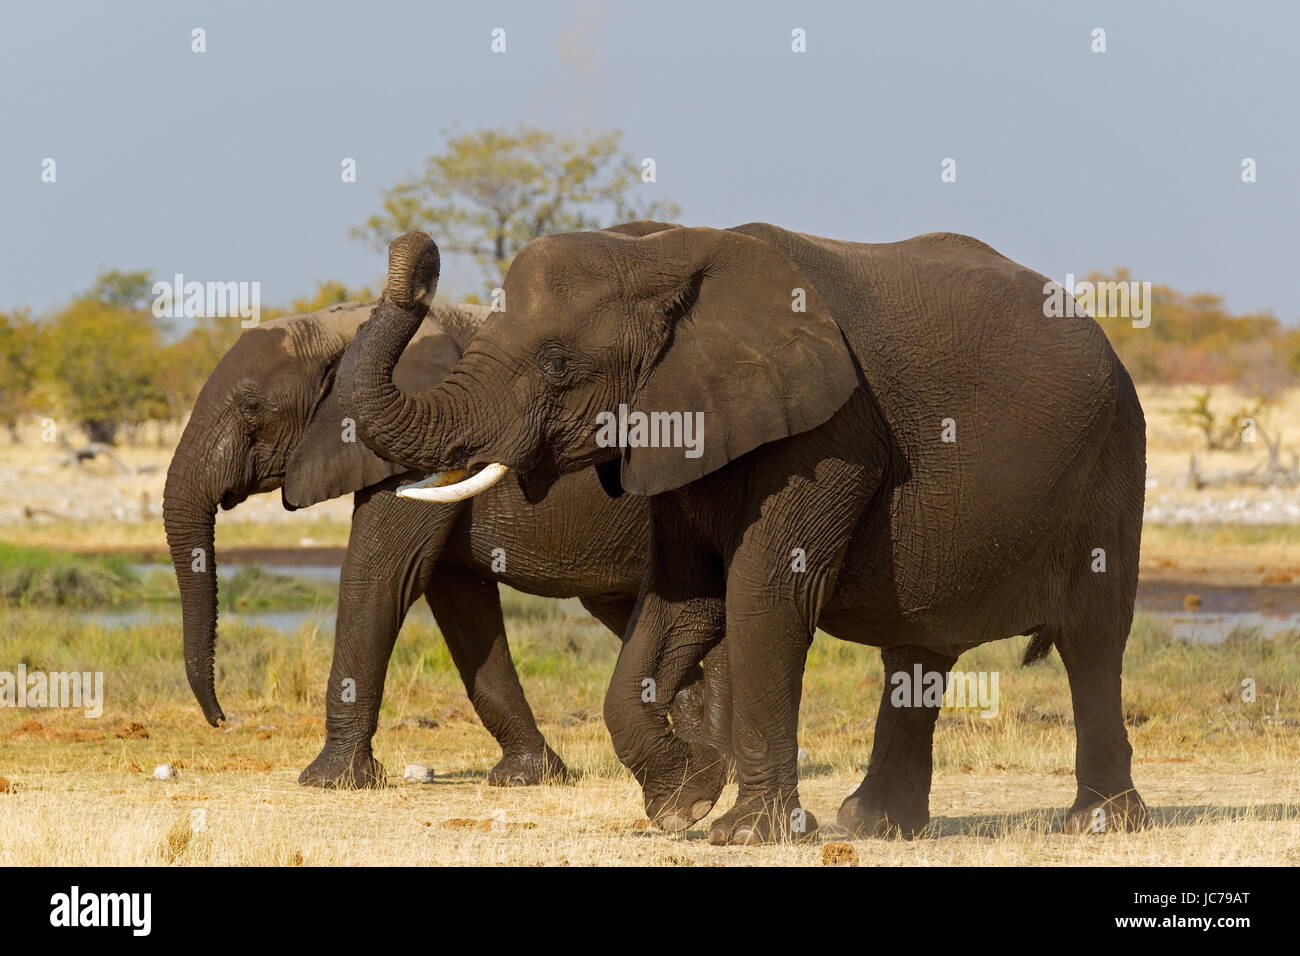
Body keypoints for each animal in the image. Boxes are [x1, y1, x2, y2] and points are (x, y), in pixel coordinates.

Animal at [162, 289, 731, 789]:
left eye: (251, 407)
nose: (221, 718)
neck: (346, 327)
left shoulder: (414, 458)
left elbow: (379, 579)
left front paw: (328, 781)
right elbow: (461, 604)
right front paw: (527, 777)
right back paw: (702, 760)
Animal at [338, 221, 1148, 845]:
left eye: (558, 363)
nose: (420, 255)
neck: (661, 255)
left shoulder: (832, 433)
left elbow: (766, 595)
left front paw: (742, 832)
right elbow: (681, 601)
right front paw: (685, 799)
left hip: (1113, 460)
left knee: (1091, 641)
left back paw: (1100, 825)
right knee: (917, 651)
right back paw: (875, 826)